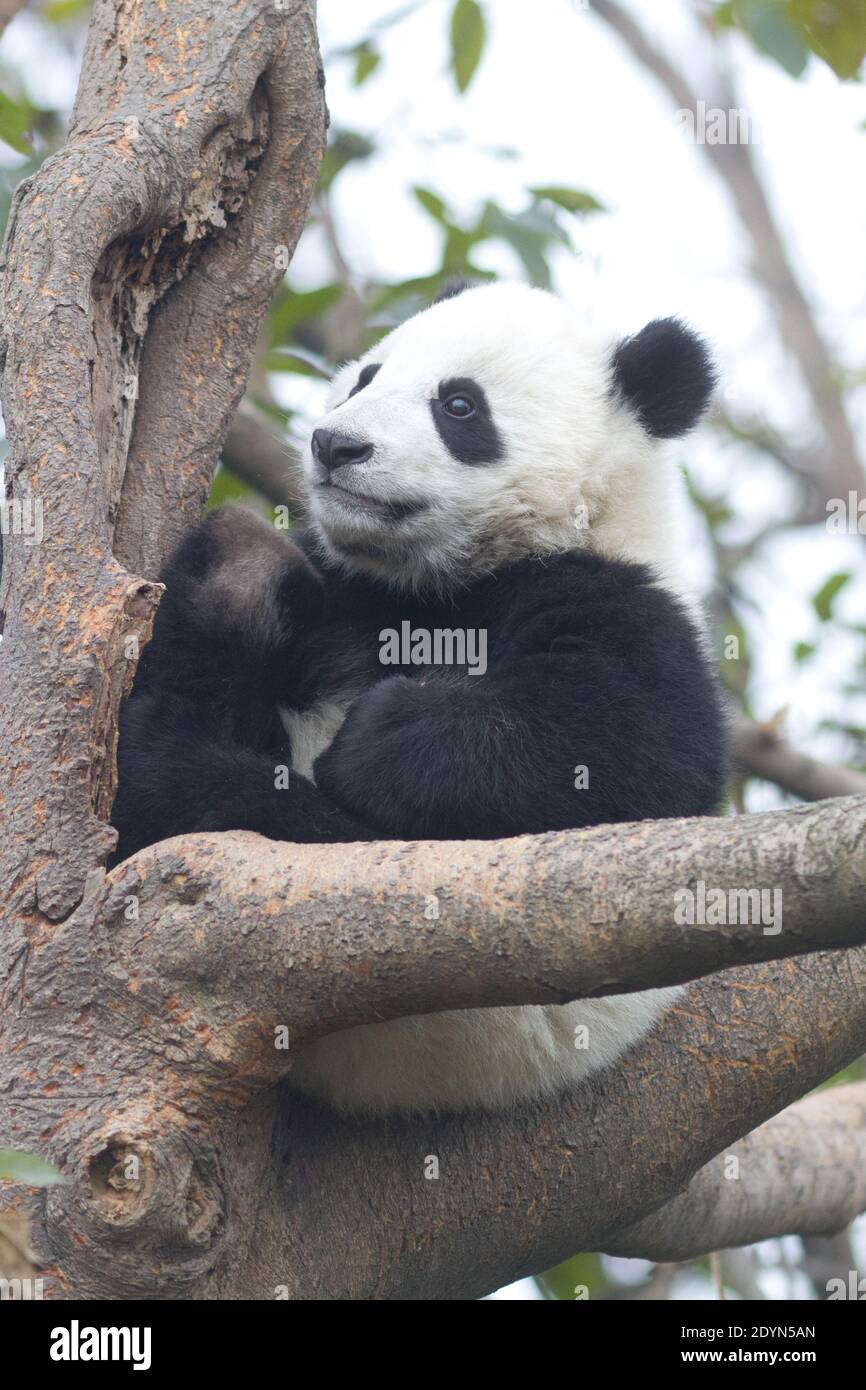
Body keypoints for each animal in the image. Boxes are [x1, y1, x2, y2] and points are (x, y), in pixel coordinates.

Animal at [112, 280, 727, 1116]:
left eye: (459, 406)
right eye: (367, 377)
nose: (335, 446)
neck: (436, 582)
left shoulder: (624, 598)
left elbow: (636, 748)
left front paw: (377, 735)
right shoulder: (344, 583)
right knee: (233, 585)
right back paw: (234, 593)